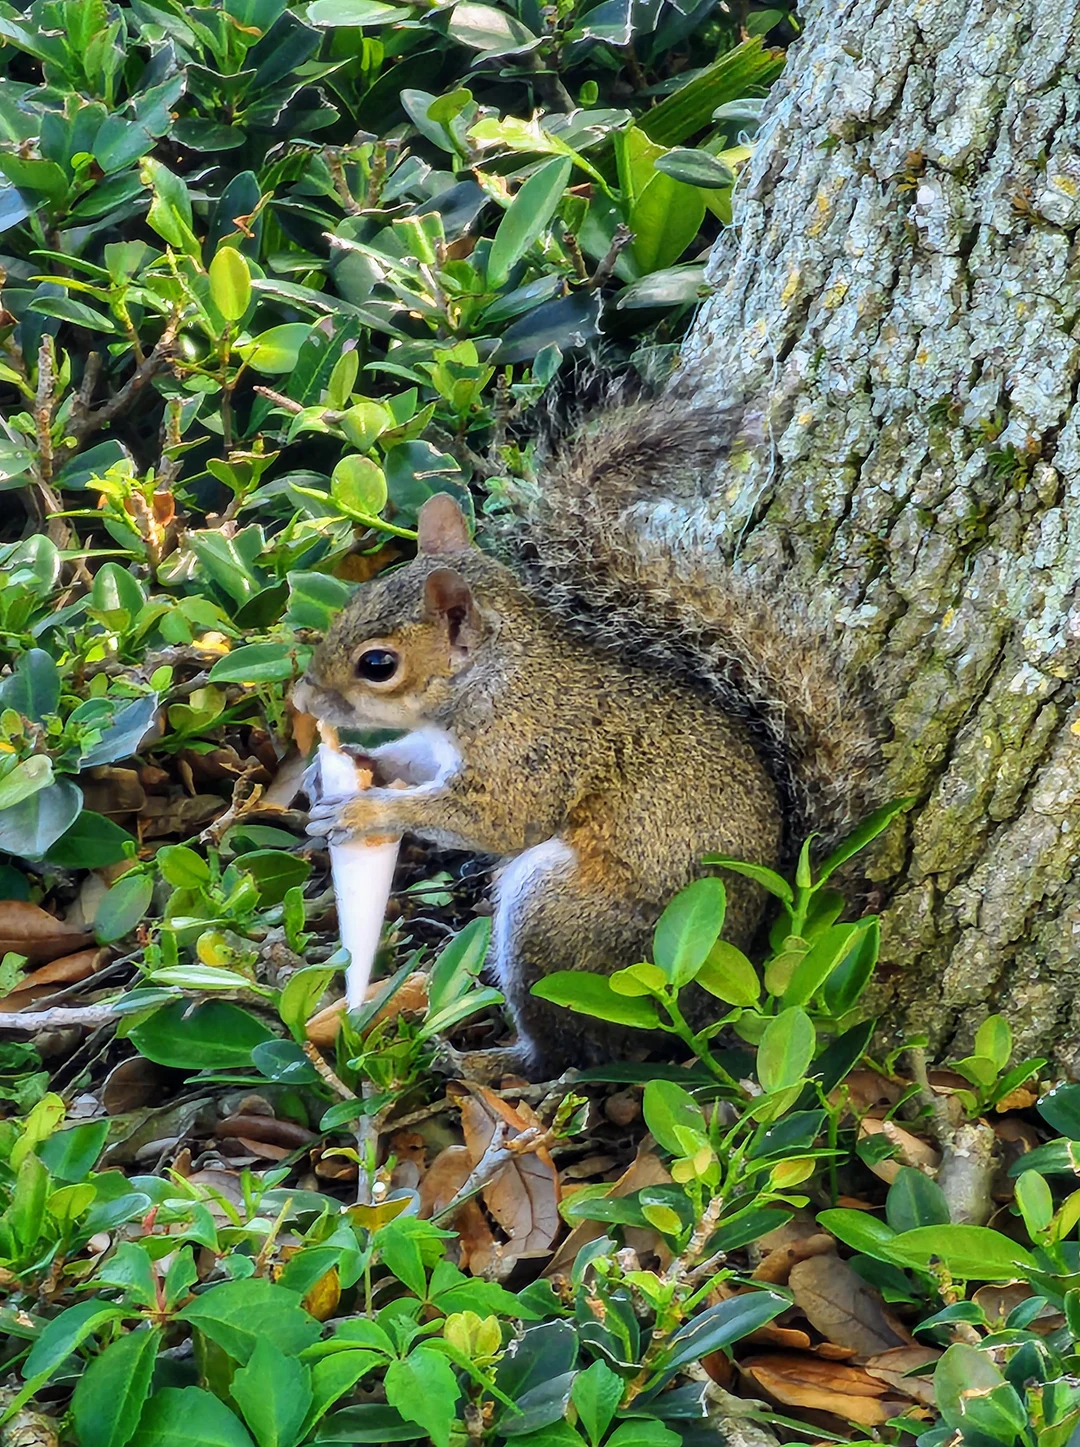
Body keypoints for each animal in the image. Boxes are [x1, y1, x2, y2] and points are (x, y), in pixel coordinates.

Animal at [292, 390, 880, 1078]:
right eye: (353, 599)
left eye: (378, 664)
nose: (301, 697)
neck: (499, 679)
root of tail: (703, 1003)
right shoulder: (444, 745)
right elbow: (415, 763)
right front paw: (352, 765)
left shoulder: (532, 754)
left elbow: (497, 820)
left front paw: (365, 812)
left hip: (559, 921)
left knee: (570, 1049)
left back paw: (496, 1063)